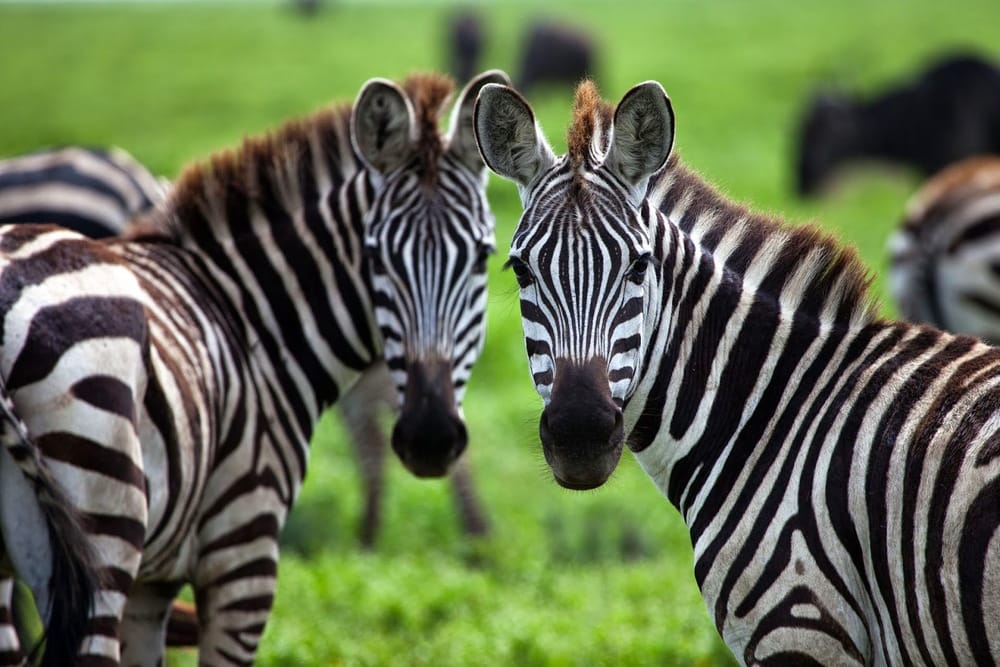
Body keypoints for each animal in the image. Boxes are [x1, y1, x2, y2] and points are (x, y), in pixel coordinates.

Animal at [0, 68, 509, 665]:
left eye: (481, 257)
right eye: (375, 257)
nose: (430, 439)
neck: (249, 316)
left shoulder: (154, 584)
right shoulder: (243, 550)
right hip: (105, 529)